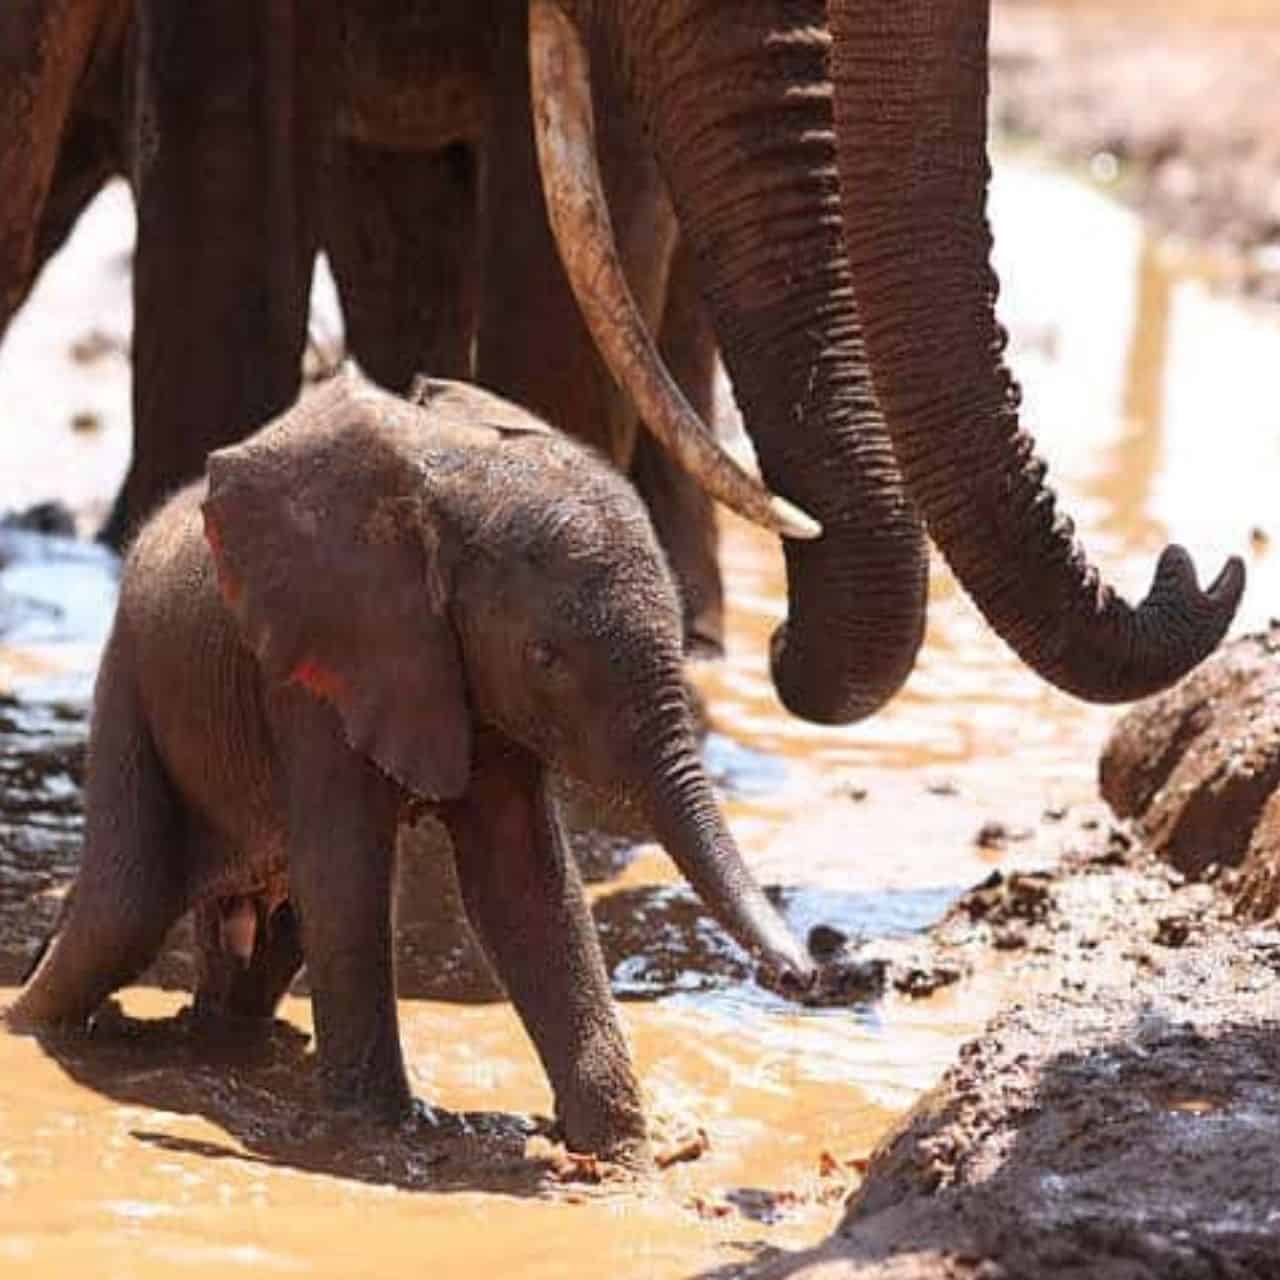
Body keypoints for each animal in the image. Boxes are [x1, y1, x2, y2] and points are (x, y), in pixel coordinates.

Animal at [4, 368, 815, 1164]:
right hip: (132, 685)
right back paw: (41, 1021)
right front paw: (384, 1138)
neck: (460, 493)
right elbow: (347, 875)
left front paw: (620, 1155)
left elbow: (522, 880)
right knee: (122, 916)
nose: (802, 975)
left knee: (259, 944)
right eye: (544, 658)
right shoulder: (325, 666)